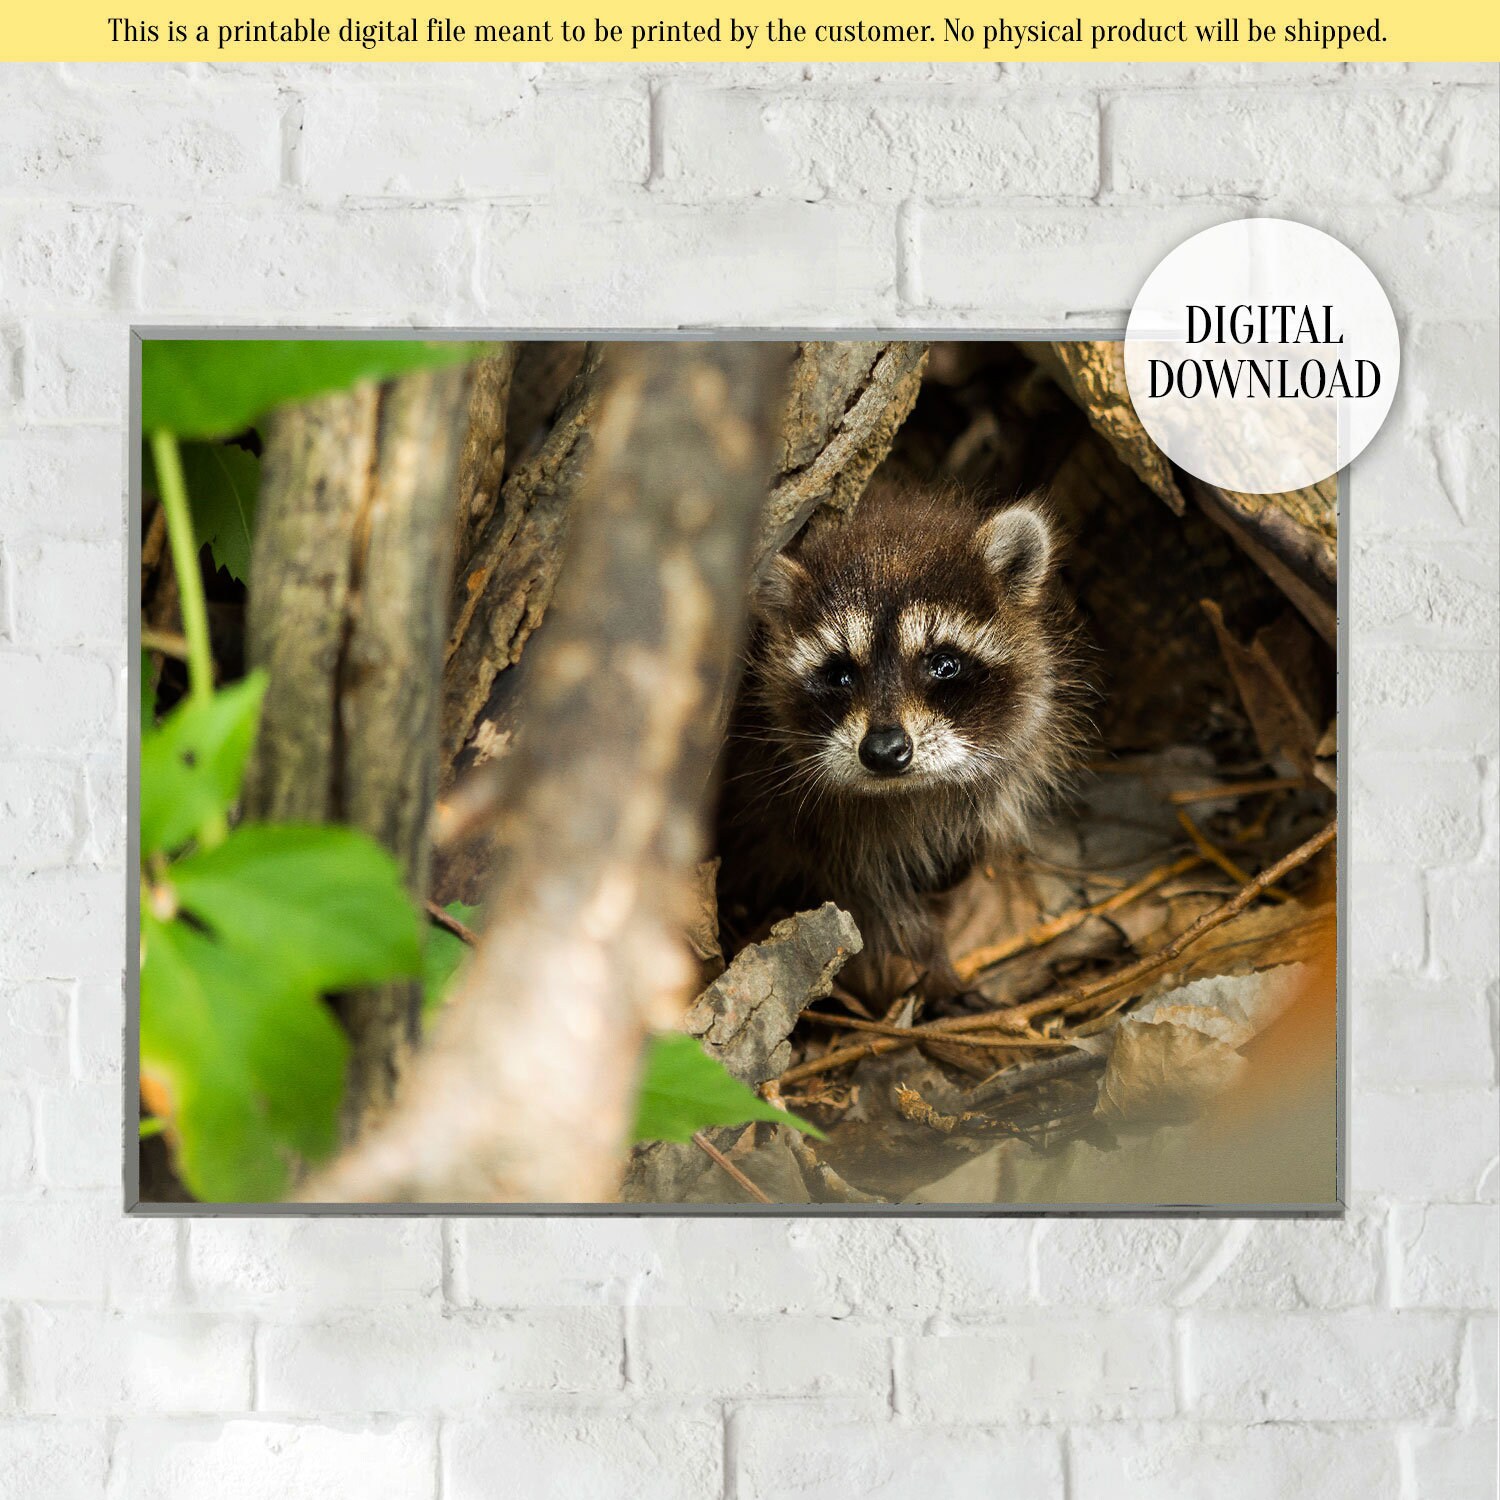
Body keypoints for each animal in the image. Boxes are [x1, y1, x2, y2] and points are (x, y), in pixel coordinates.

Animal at [718, 481, 1083, 1003]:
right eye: (839, 674)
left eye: (944, 664)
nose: (885, 751)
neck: (909, 796)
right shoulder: (799, 820)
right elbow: (872, 899)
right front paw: (926, 959)